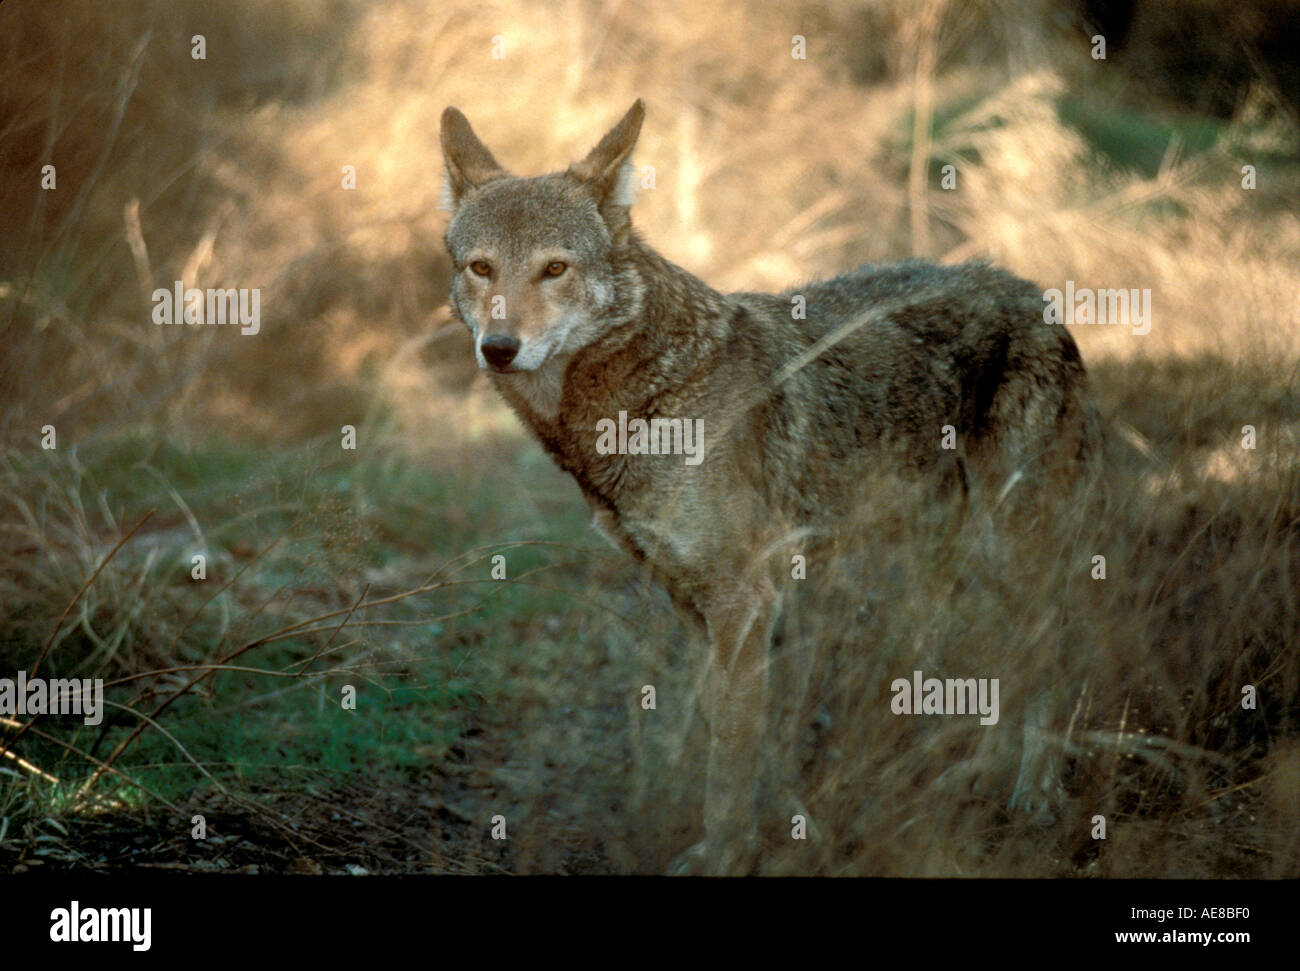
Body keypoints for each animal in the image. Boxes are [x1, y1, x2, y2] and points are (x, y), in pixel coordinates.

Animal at [439, 99, 1095, 874]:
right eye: (482, 267)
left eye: (555, 269)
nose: (499, 348)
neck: (641, 400)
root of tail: (1035, 296)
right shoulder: (694, 600)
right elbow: (727, 725)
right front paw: (778, 820)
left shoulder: (744, 598)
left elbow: (731, 749)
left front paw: (722, 852)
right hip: (947, 558)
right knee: (1002, 660)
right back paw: (980, 778)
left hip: (1009, 548)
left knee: (1045, 650)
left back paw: (1034, 795)